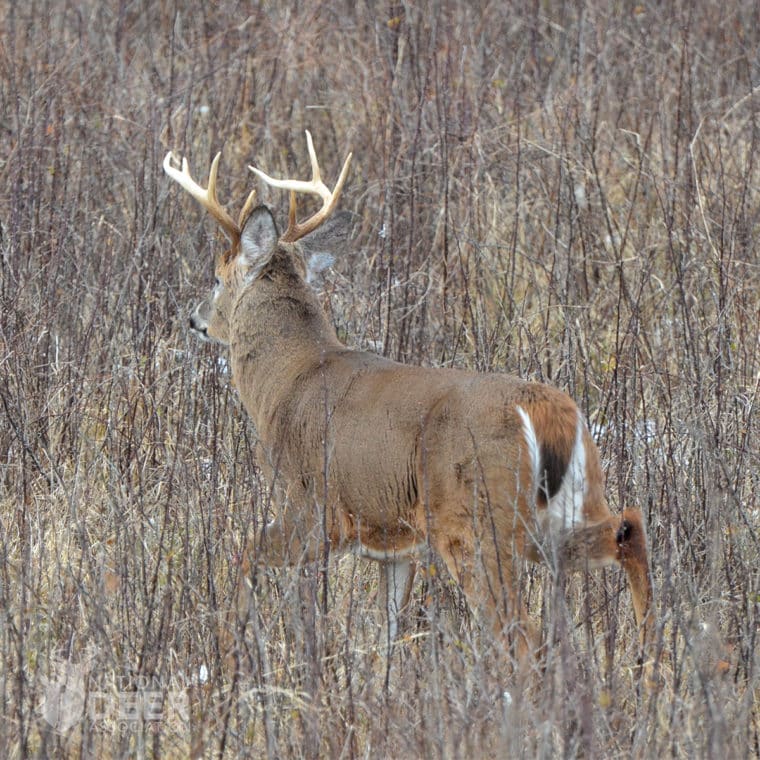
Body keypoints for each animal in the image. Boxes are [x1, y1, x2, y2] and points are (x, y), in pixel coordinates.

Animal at [164, 131, 653, 675]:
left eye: (217, 276)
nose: (192, 318)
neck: (287, 381)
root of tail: (549, 415)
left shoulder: (315, 508)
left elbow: (244, 552)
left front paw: (233, 657)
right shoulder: (394, 543)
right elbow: (387, 633)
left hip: (476, 522)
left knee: (522, 636)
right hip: (567, 508)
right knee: (629, 531)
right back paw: (652, 665)